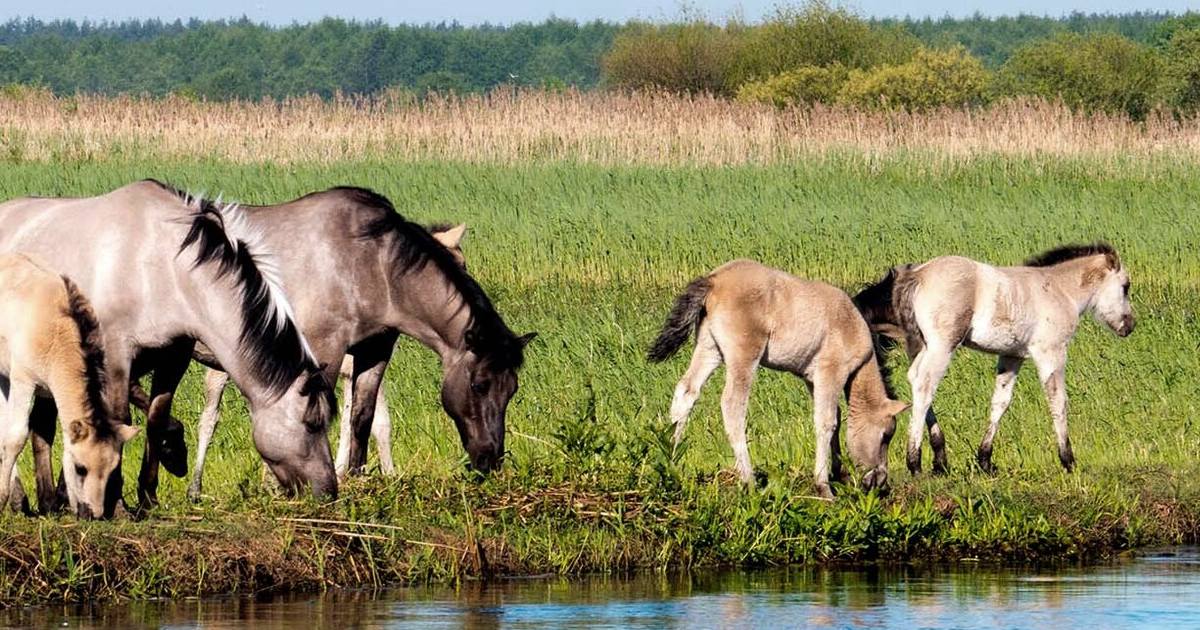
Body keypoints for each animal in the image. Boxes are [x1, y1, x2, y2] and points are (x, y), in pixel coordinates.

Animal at [0, 253, 139, 518]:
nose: (94, 514)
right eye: (80, 468)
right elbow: (16, 436)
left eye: (111, 470)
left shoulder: (49, 392)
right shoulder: (23, 379)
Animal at [648, 259, 909, 498]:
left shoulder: (813, 380)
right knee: (732, 405)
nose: (880, 481)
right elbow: (827, 423)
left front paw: (840, 475)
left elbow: (834, 418)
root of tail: (714, 280)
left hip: (709, 349)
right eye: (886, 435)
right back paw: (749, 480)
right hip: (743, 356)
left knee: (686, 391)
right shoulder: (831, 372)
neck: (852, 326)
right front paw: (823, 486)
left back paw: (671, 459)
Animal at [854, 243, 1134, 475]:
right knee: (925, 385)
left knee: (916, 382)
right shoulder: (1051, 353)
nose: (1129, 326)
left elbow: (1000, 402)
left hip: (922, 346)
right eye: (1125, 286)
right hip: (942, 346)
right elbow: (1058, 402)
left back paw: (939, 459)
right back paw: (915, 461)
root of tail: (919, 275)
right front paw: (1068, 460)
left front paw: (985, 459)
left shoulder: (1011, 356)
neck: (1058, 290)